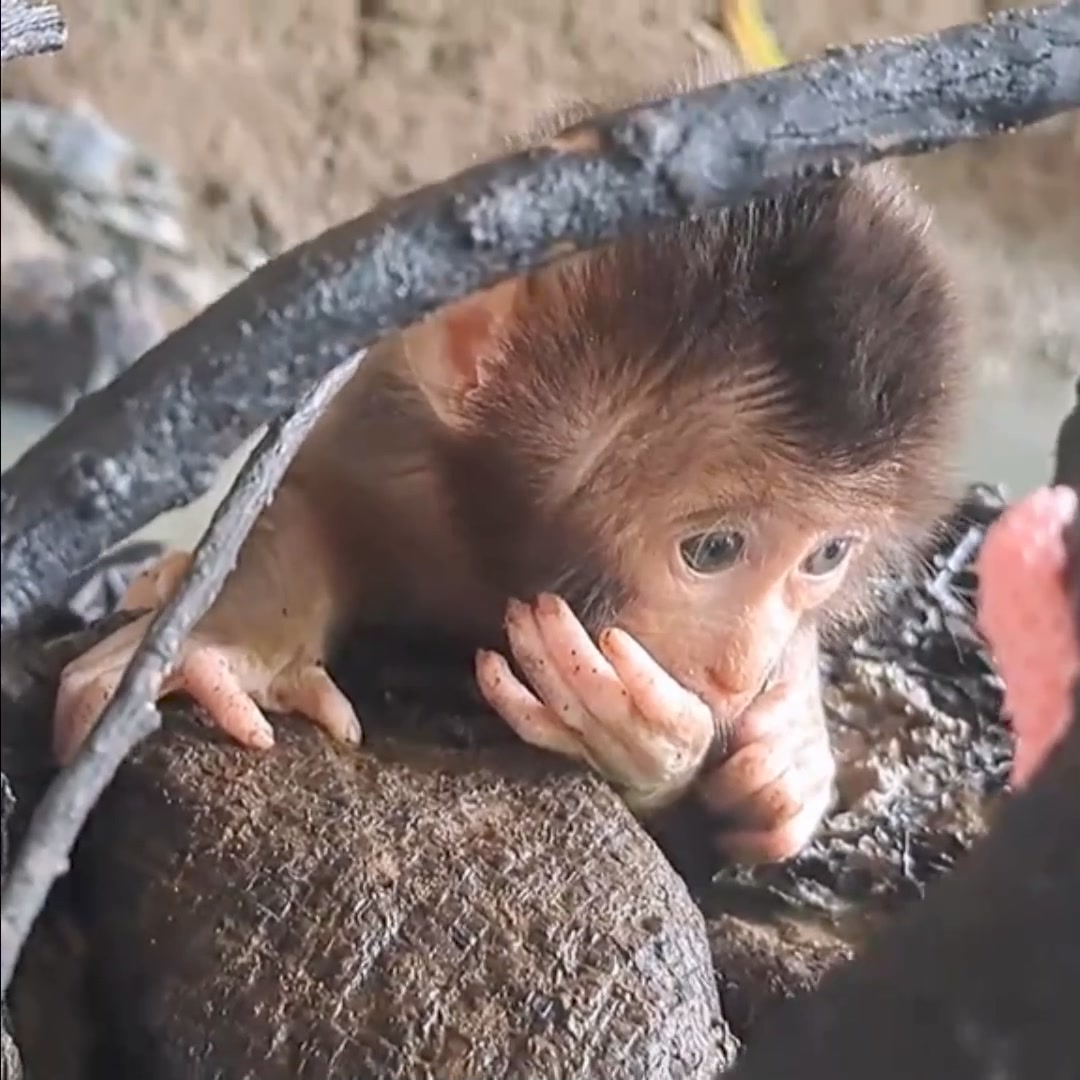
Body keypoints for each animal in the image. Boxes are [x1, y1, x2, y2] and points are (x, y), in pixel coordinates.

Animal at [50, 63, 967, 868]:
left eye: (827, 556)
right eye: (713, 550)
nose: (736, 669)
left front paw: (751, 747)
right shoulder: (399, 462)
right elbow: (305, 501)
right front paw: (220, 640)